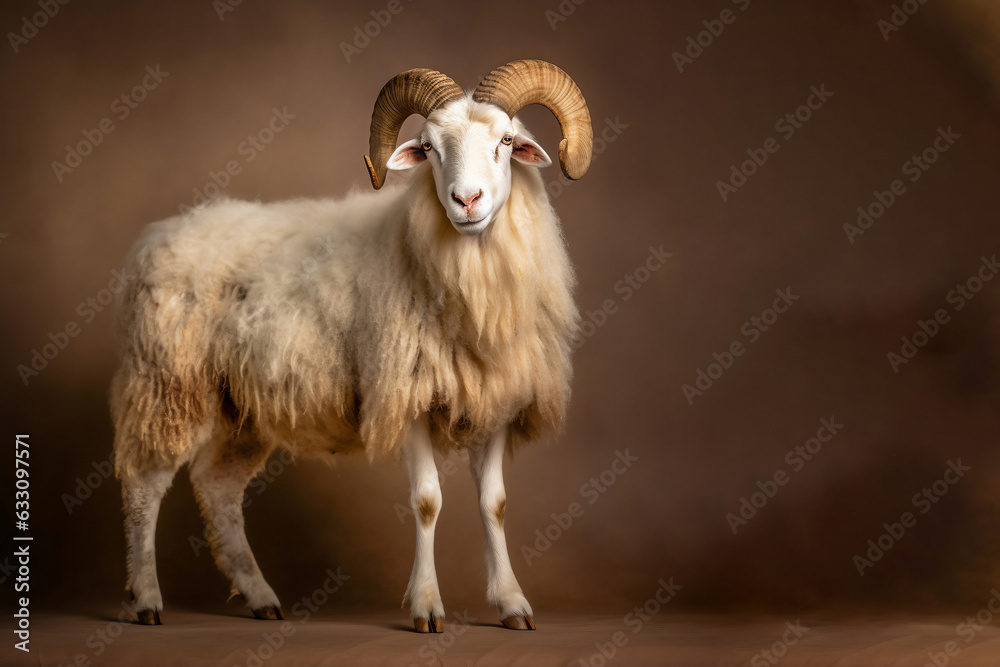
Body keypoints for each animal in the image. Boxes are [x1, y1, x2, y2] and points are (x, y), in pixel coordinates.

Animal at [110, 59, 593, 633]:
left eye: (506, 140)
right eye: (429, 147)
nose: (466, 200)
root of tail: (158, 235)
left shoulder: (498, 399)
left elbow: (494, 503)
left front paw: (512, 604)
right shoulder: (405, 394)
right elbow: (427, 501)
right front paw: (427, 606)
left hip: (241, 406)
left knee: (217, 486)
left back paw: (260, 596)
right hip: (167, 382)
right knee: (145, 484)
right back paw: (146, 598)